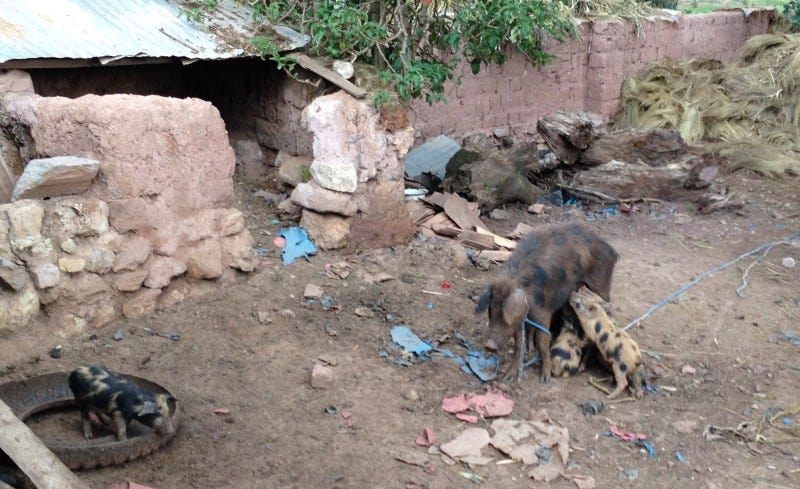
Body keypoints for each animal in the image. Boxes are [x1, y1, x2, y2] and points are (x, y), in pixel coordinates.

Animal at [476, 223, 619, 382]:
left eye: (505, 316)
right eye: (491, 312)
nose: (489, 346)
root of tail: (607, 246)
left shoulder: (543, 312)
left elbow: (544, 342)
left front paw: (545, 379)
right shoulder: (521, 318)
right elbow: (519, 345)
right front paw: (509, 377)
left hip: (602, 284)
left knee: (606, 303)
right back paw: (530, 349)